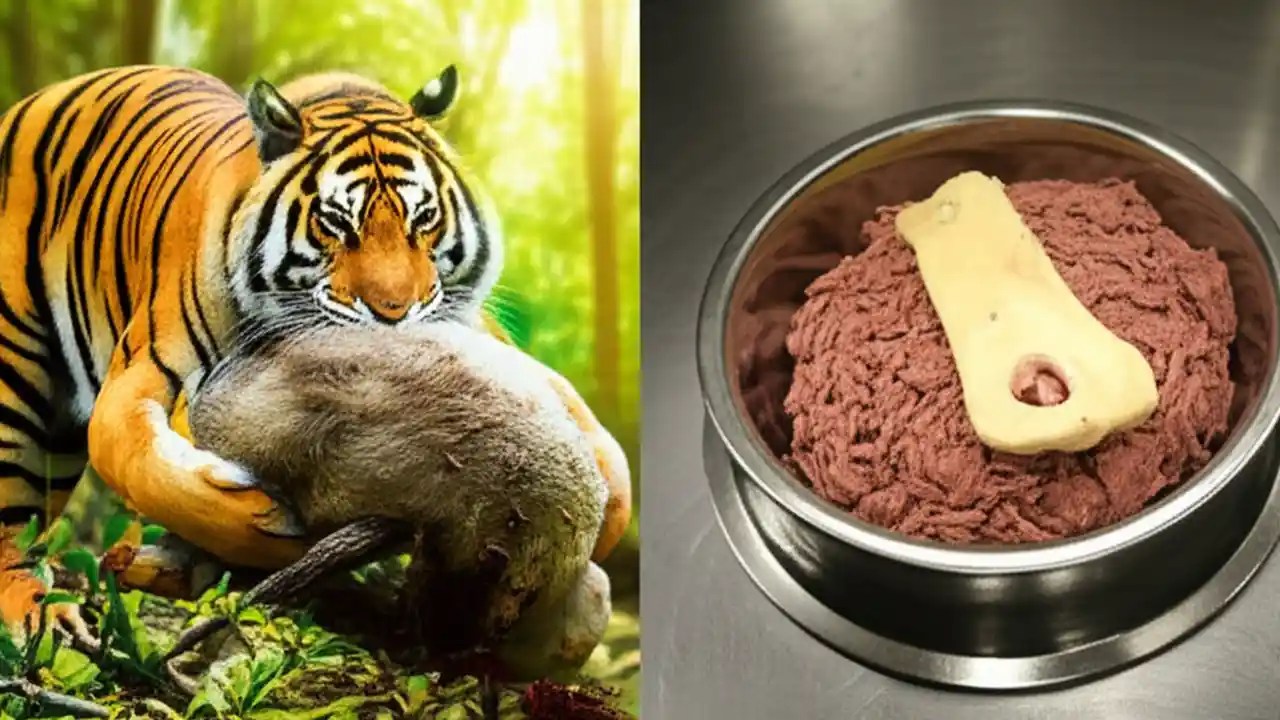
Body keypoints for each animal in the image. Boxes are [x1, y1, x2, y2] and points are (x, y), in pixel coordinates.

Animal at [0, 65, 632, 643]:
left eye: (423, 218)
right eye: (337, 222)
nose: (394, 311)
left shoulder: (466, 327)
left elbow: (561, 398)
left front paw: (608, 503)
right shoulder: (136, 383)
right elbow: (150, 471)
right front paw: (265, 524)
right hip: (15, 373)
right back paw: (40, 612)